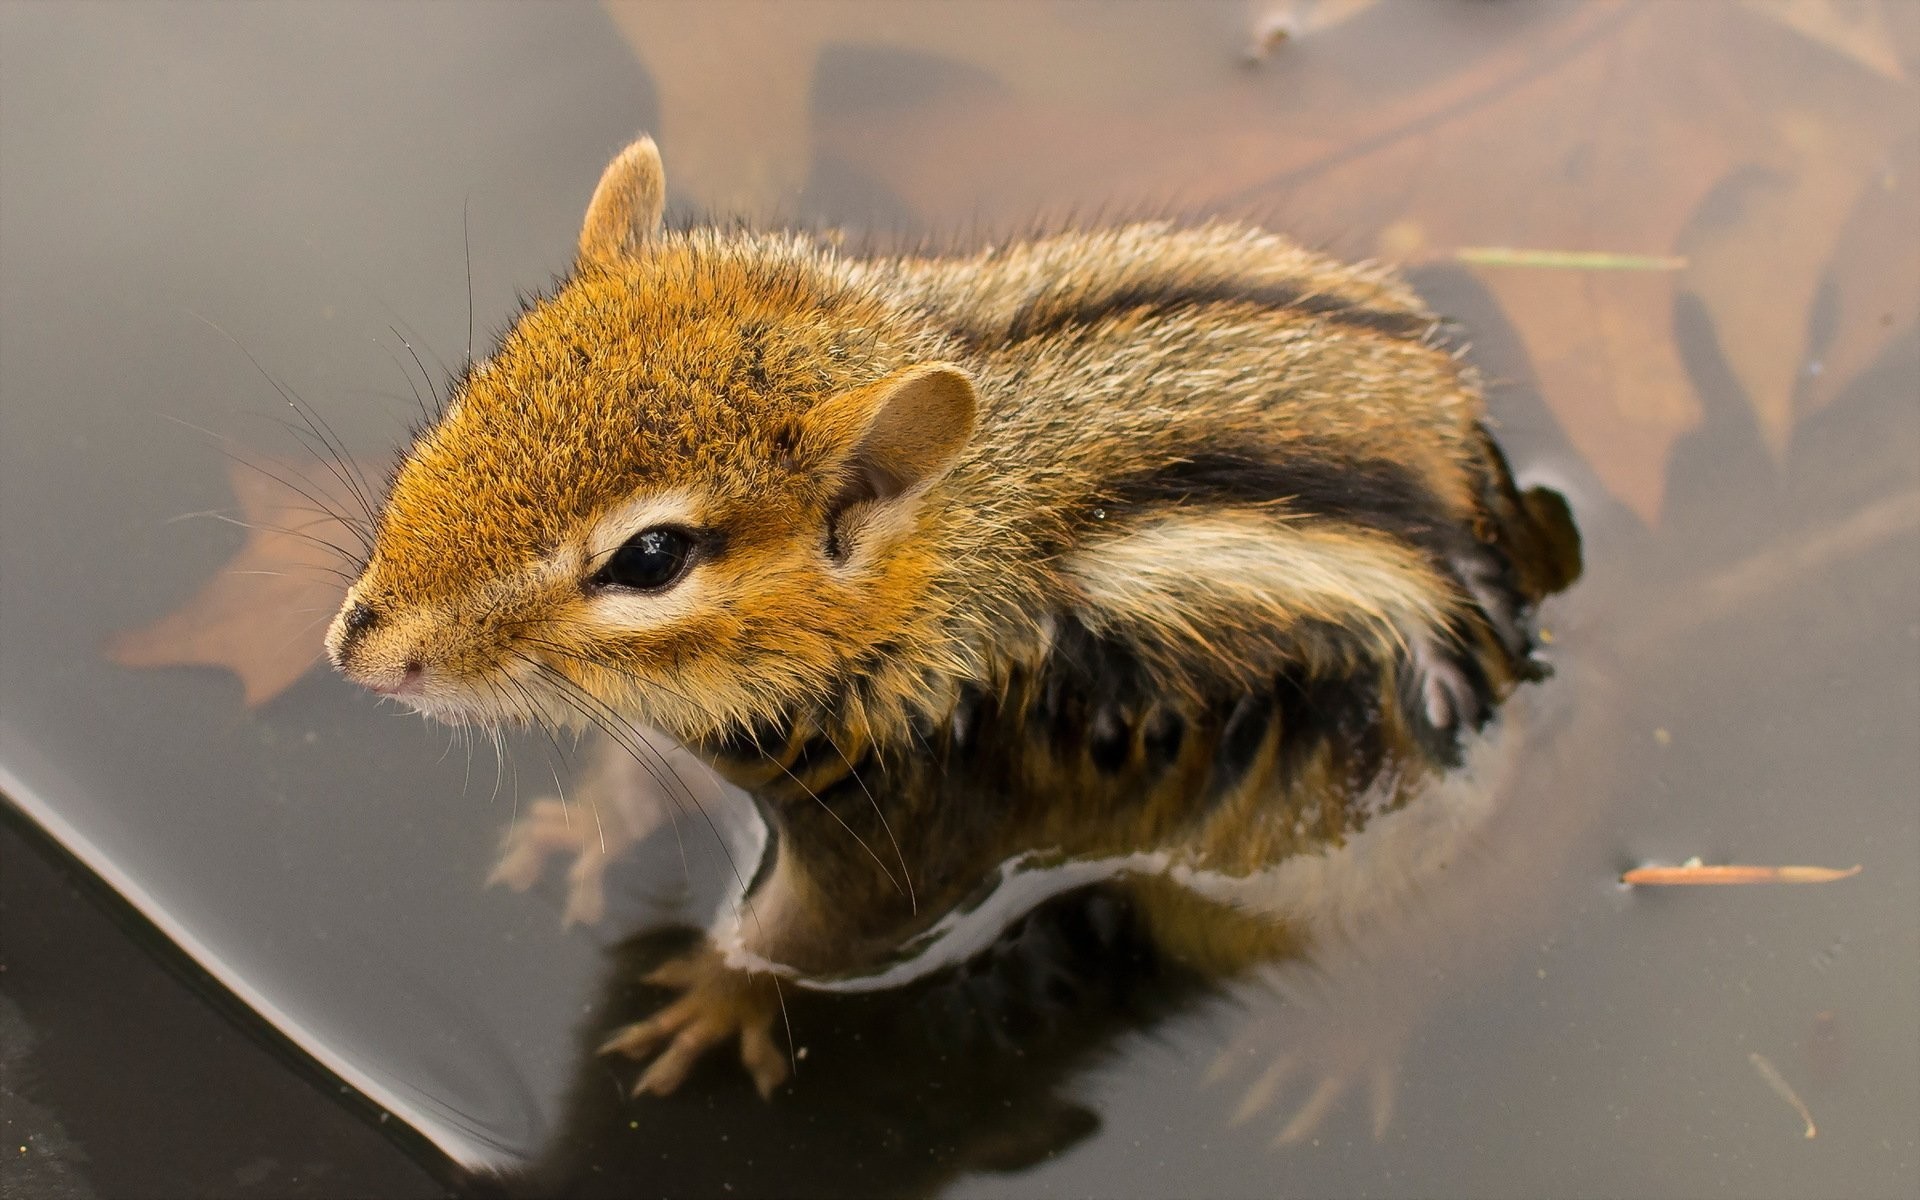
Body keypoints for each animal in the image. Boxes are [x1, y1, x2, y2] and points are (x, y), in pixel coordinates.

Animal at [326, 135, 1581, 1102]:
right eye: (482, 388)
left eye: (651, 557)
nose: (360, 648)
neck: (945, 570)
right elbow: (645, 782)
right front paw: (568, 838)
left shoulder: (933, 813)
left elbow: (822, 947)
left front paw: (718, 996)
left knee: (1423, 940)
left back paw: (1334, 1050)